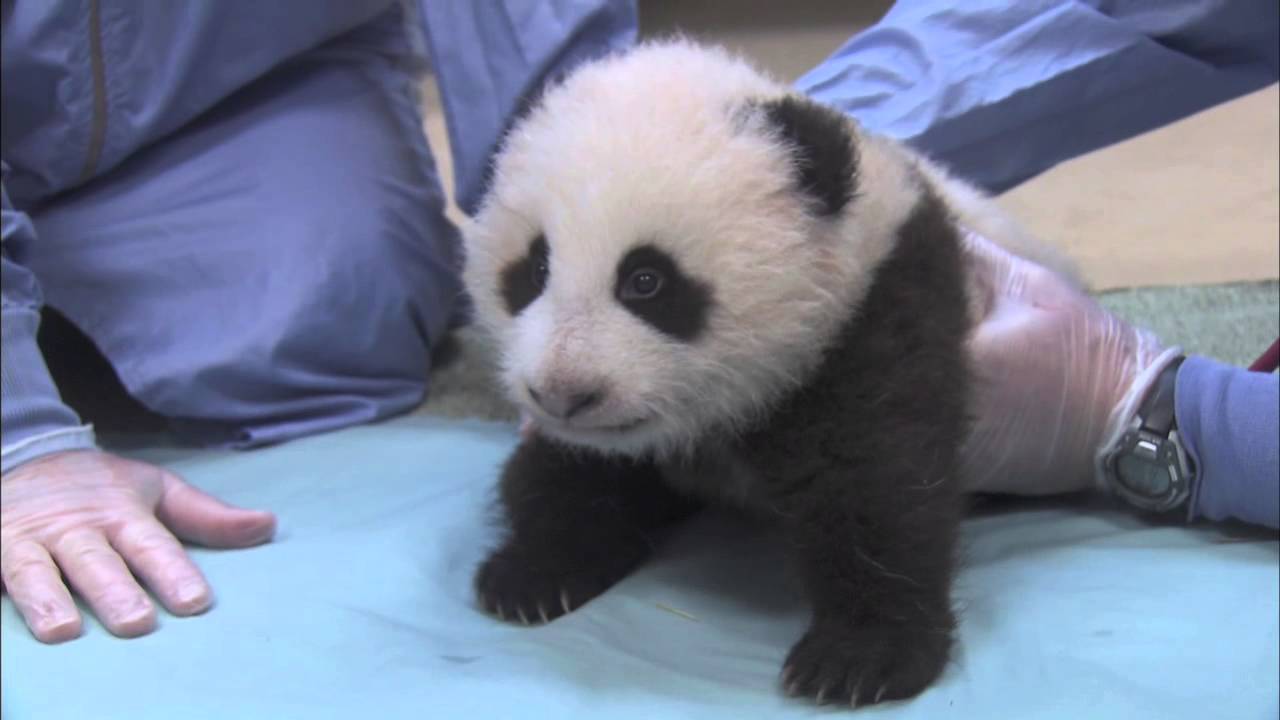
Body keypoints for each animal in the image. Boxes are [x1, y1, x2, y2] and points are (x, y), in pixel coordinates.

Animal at [461, 40, 1073, 707]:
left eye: (646, 281)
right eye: (534, 269)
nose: (563, 394)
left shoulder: (881, 304)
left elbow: (876, 482)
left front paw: (860, 655)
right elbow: (562, 473)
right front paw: (532, 575)